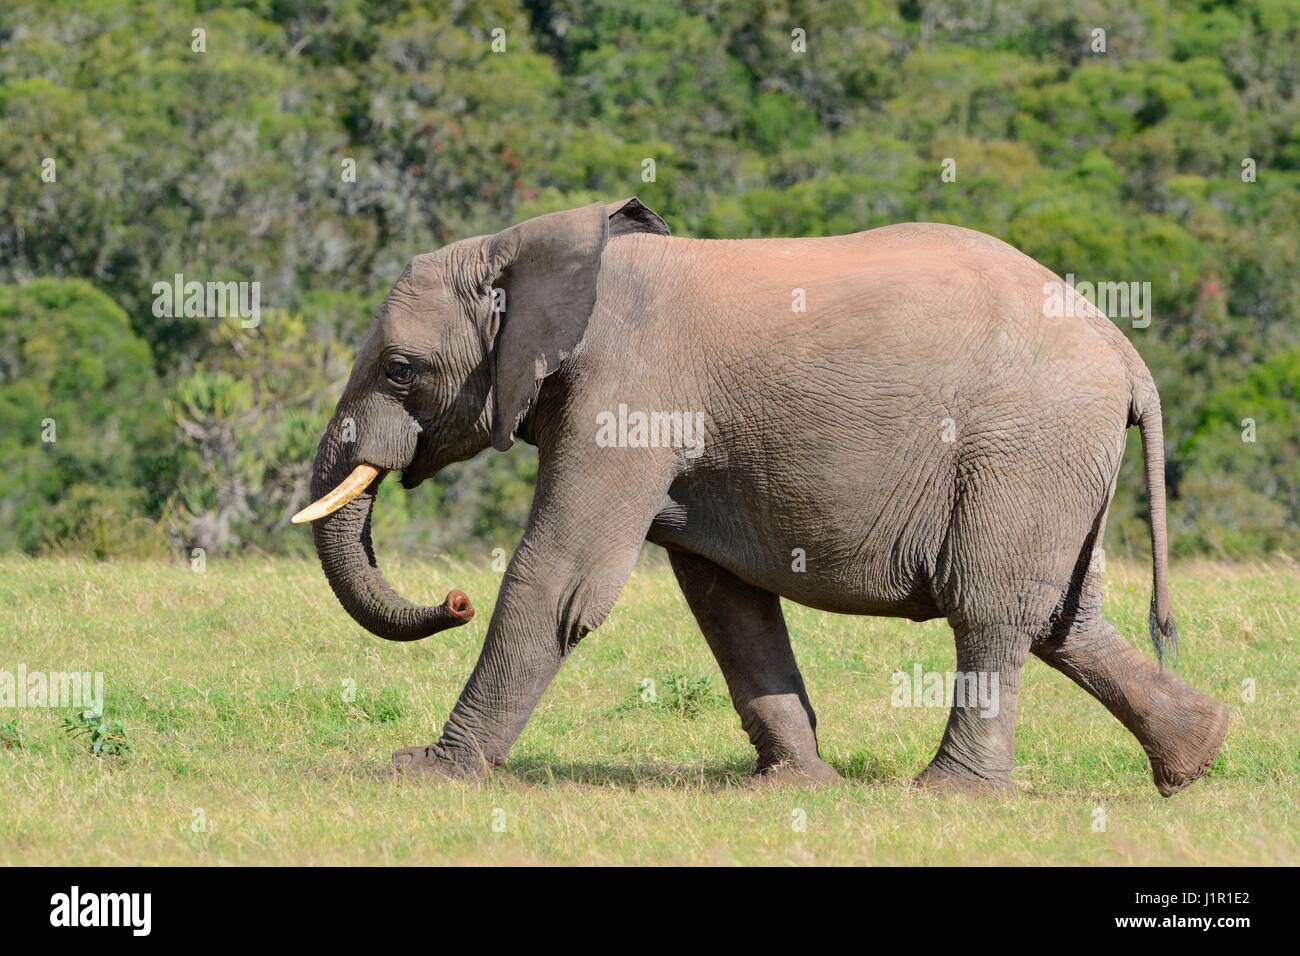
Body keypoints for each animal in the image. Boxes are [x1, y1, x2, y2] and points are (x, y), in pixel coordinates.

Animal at [293, 198, 1229, 796]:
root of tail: (1127, 355)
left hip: (1024, 450)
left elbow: (560, 577)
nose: (451, 599)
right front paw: (797, 786)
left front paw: (427, 773)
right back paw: (1197, 759)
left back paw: (950, 795)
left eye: (400, 370)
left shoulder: (628, 393)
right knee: (1064, 620)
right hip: (1059, 464)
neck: (533, 244)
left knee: (992, 609)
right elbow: (726, 599)